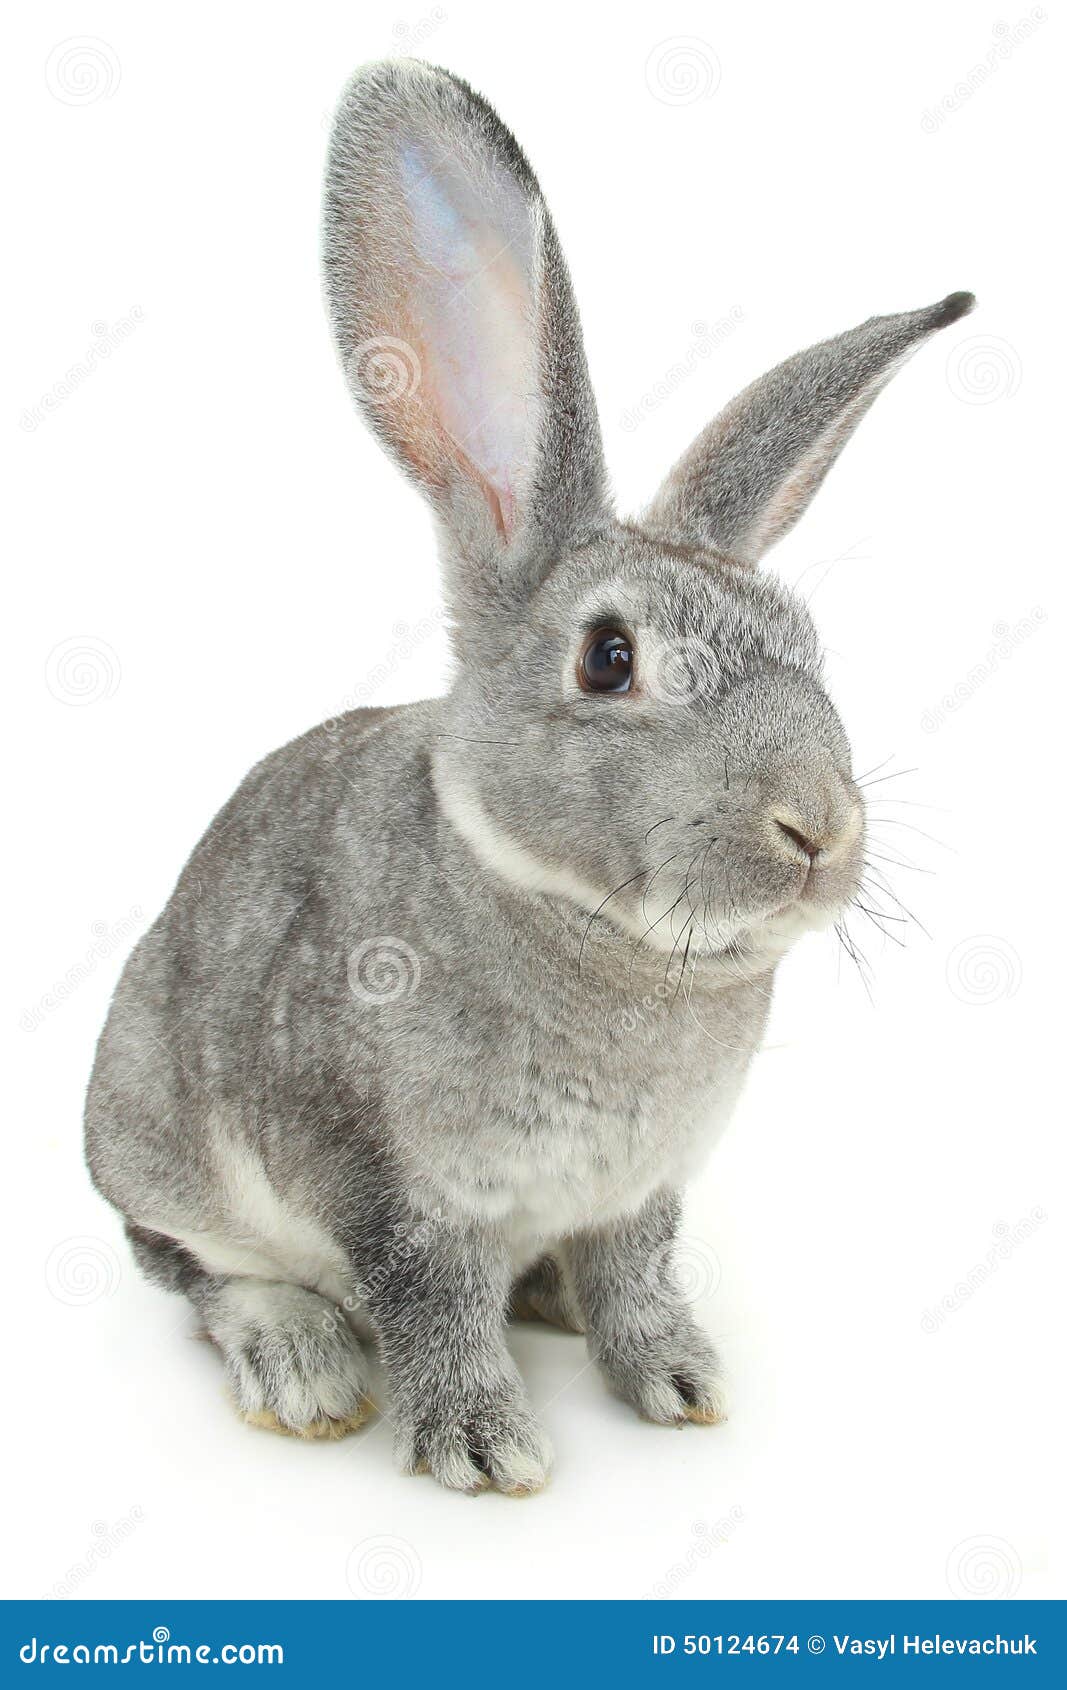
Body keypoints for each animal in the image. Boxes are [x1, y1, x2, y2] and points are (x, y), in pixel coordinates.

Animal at [84, 58, 973, 1494]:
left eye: (807, 647)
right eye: (608, 659)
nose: (818, 828)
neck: (591, 932)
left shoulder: (640, 1189)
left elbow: (632, 1276)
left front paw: (678, 1381)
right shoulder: (393, 1186)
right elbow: (431, 1302)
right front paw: (485, 1447)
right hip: (154, 1135)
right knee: (197, 1270)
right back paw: (301, 1359)